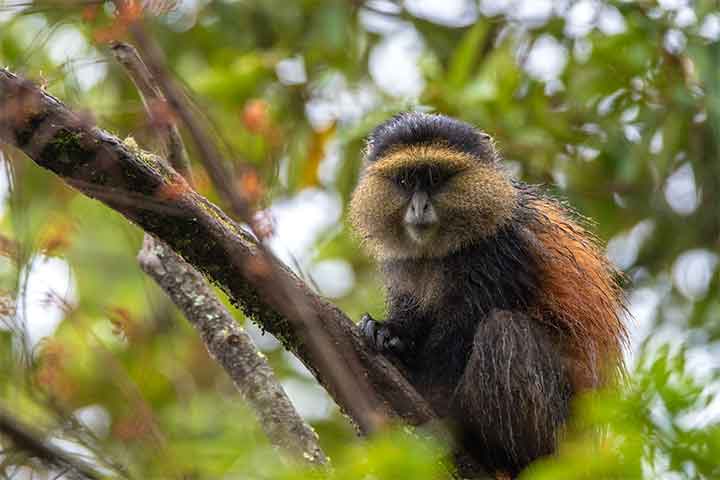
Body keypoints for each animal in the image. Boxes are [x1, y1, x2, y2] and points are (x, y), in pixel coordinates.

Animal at [349, 112, 627, 478]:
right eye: (406, 180)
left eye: (435, 178)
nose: (419, 207)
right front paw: (389, 333)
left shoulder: (498, 256)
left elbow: (456, 341)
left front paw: (426, 395)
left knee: (505, 331)